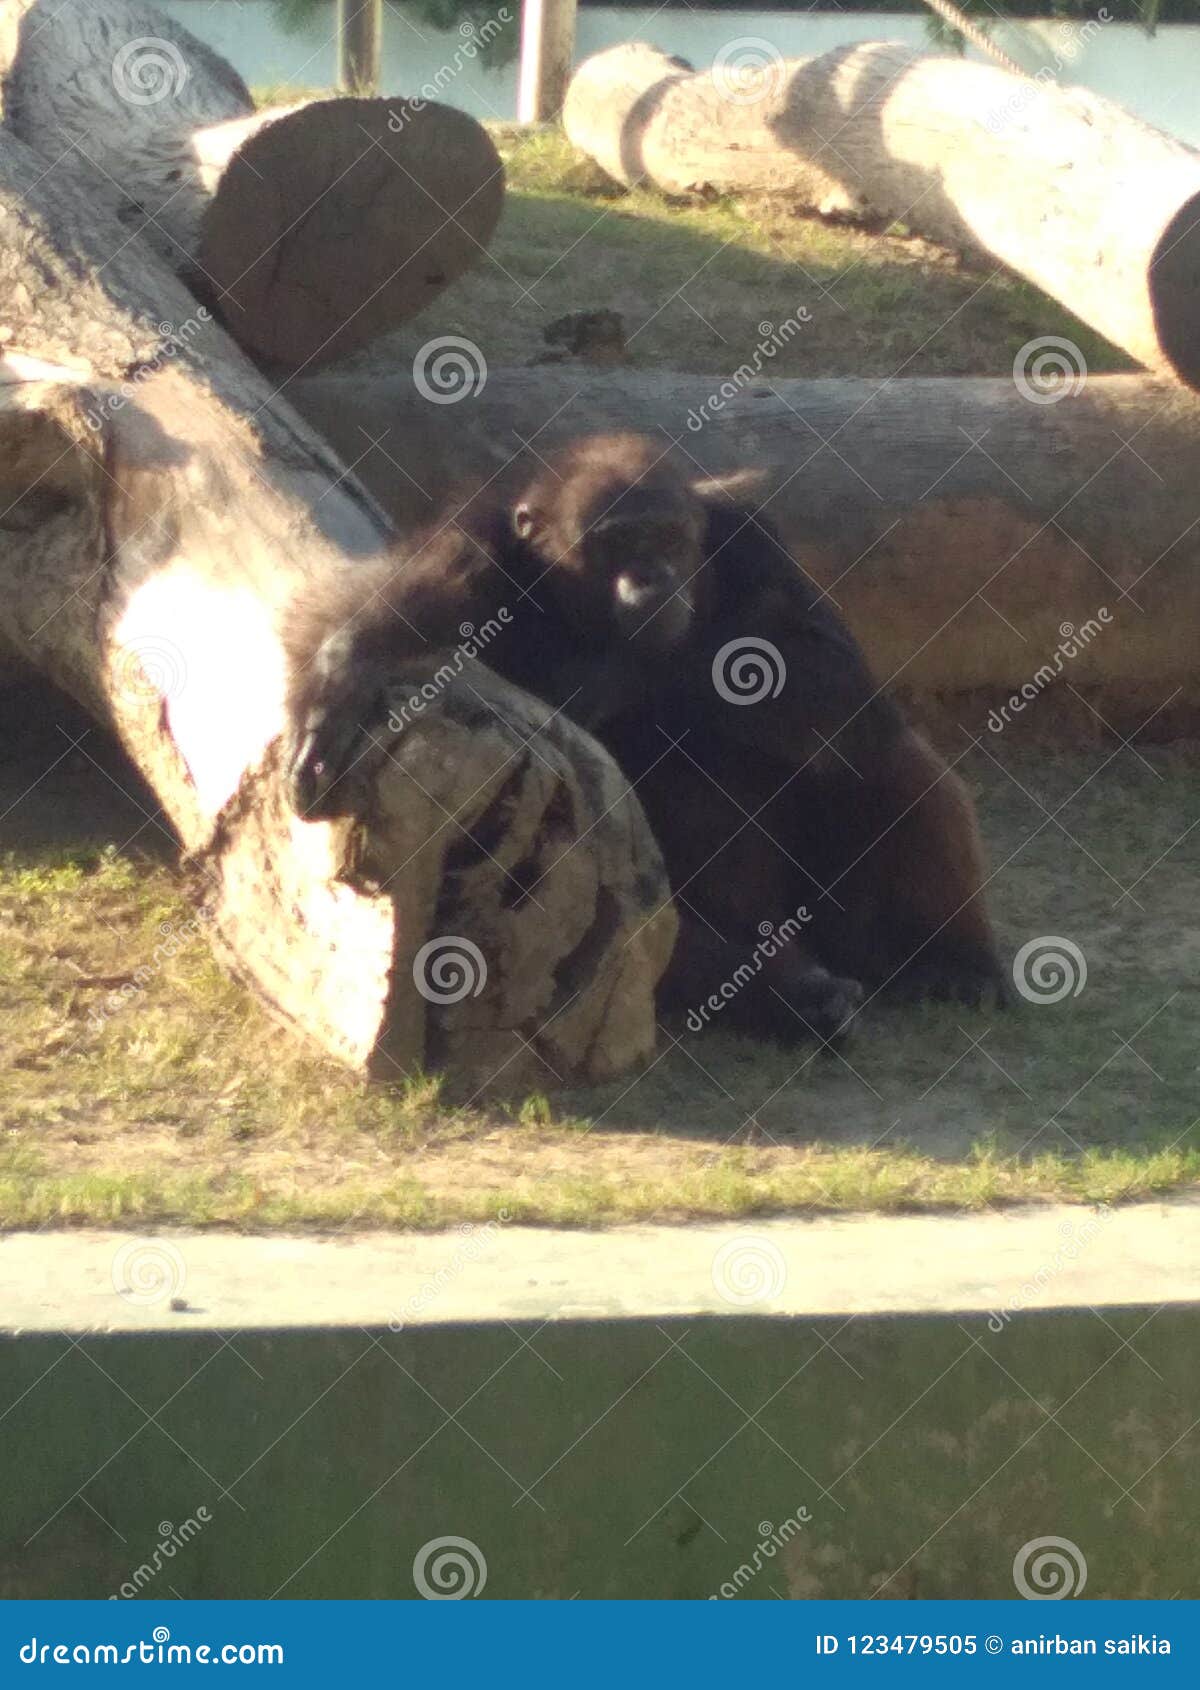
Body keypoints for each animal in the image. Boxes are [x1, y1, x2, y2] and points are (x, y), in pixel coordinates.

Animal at [285, 433, 1007, 1041]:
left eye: (666, 536)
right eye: (613, 544)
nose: (652, 578)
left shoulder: (754, 535)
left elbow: (838, 675)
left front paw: (630, 671)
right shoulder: (471, 546)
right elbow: (392, 610)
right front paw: (341, 674)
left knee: (882, 756)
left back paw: (948, 959)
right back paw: (790, 995)